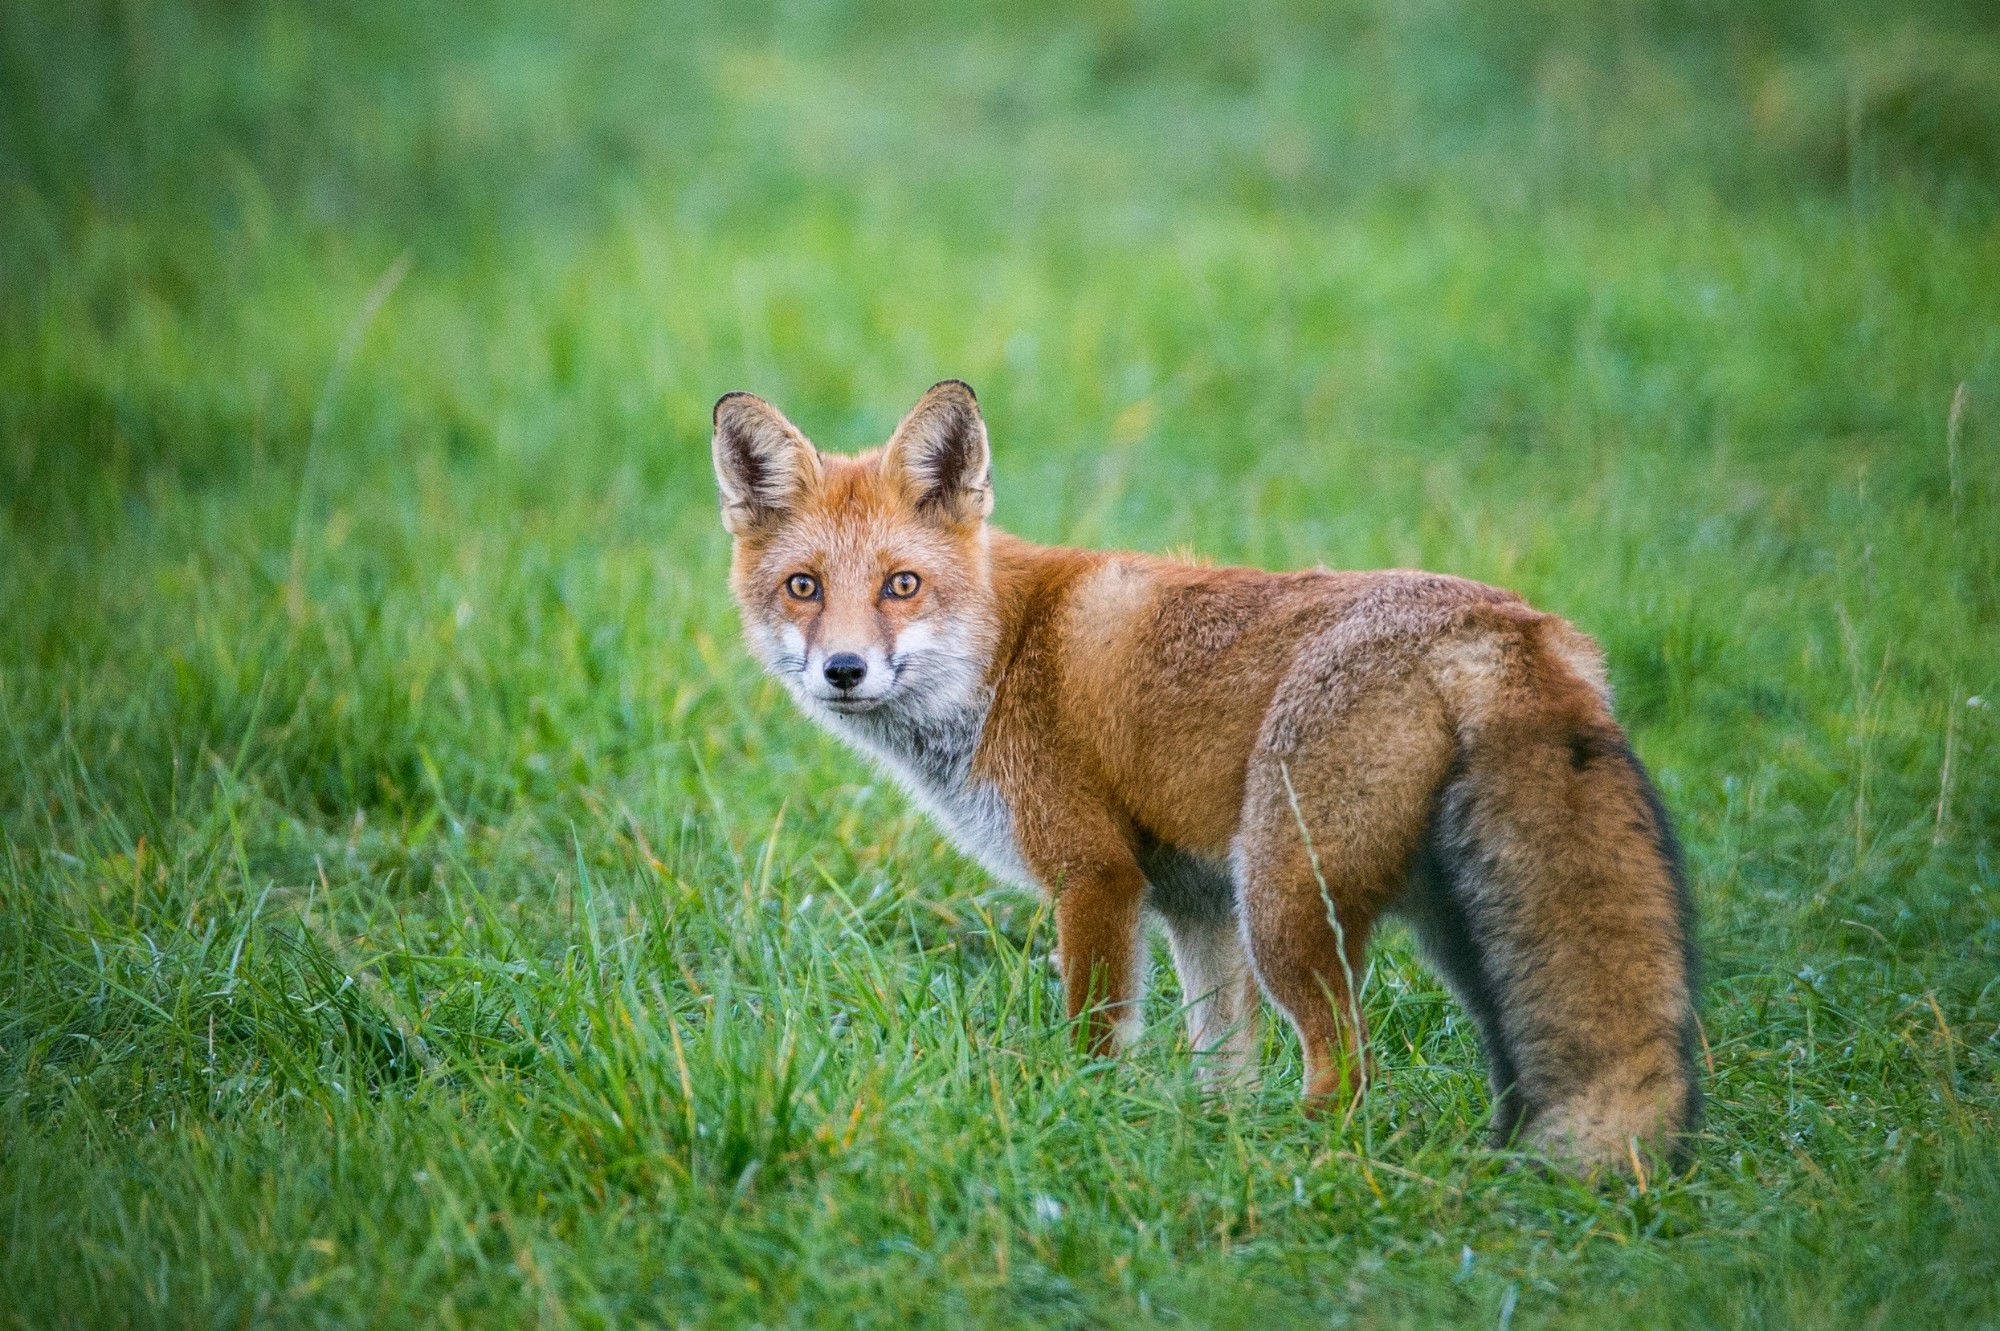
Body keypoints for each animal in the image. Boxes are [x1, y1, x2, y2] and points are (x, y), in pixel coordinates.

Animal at [710, 379, 1700, 1173]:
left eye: (901, 584)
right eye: (804, 587)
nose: (843, 669)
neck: (1003, 656)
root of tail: (1511, 623)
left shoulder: (1097, 875)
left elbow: (1097, 1034)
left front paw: (1088, 1119)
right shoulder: (1194, 902)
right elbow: (1221, 1058)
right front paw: (1209, 1133)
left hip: (1286, 905)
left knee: (1347, 1066)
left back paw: (1299, 1159)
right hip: (1444, 928)